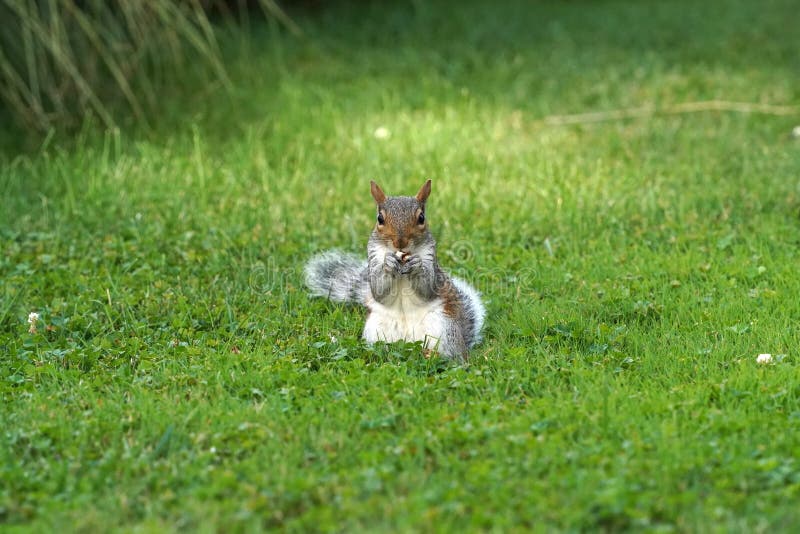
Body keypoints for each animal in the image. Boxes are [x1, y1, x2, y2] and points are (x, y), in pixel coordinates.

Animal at [305, 180, 485, 361]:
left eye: (421, 218)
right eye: (380, 218)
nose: (400, 242)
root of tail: (410, 344)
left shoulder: (430, 258)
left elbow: (428, 288)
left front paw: (417, 265)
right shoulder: (374, 256)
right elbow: (379, 290)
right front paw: (388, 264)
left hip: (445, 330)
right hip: (375, 329)